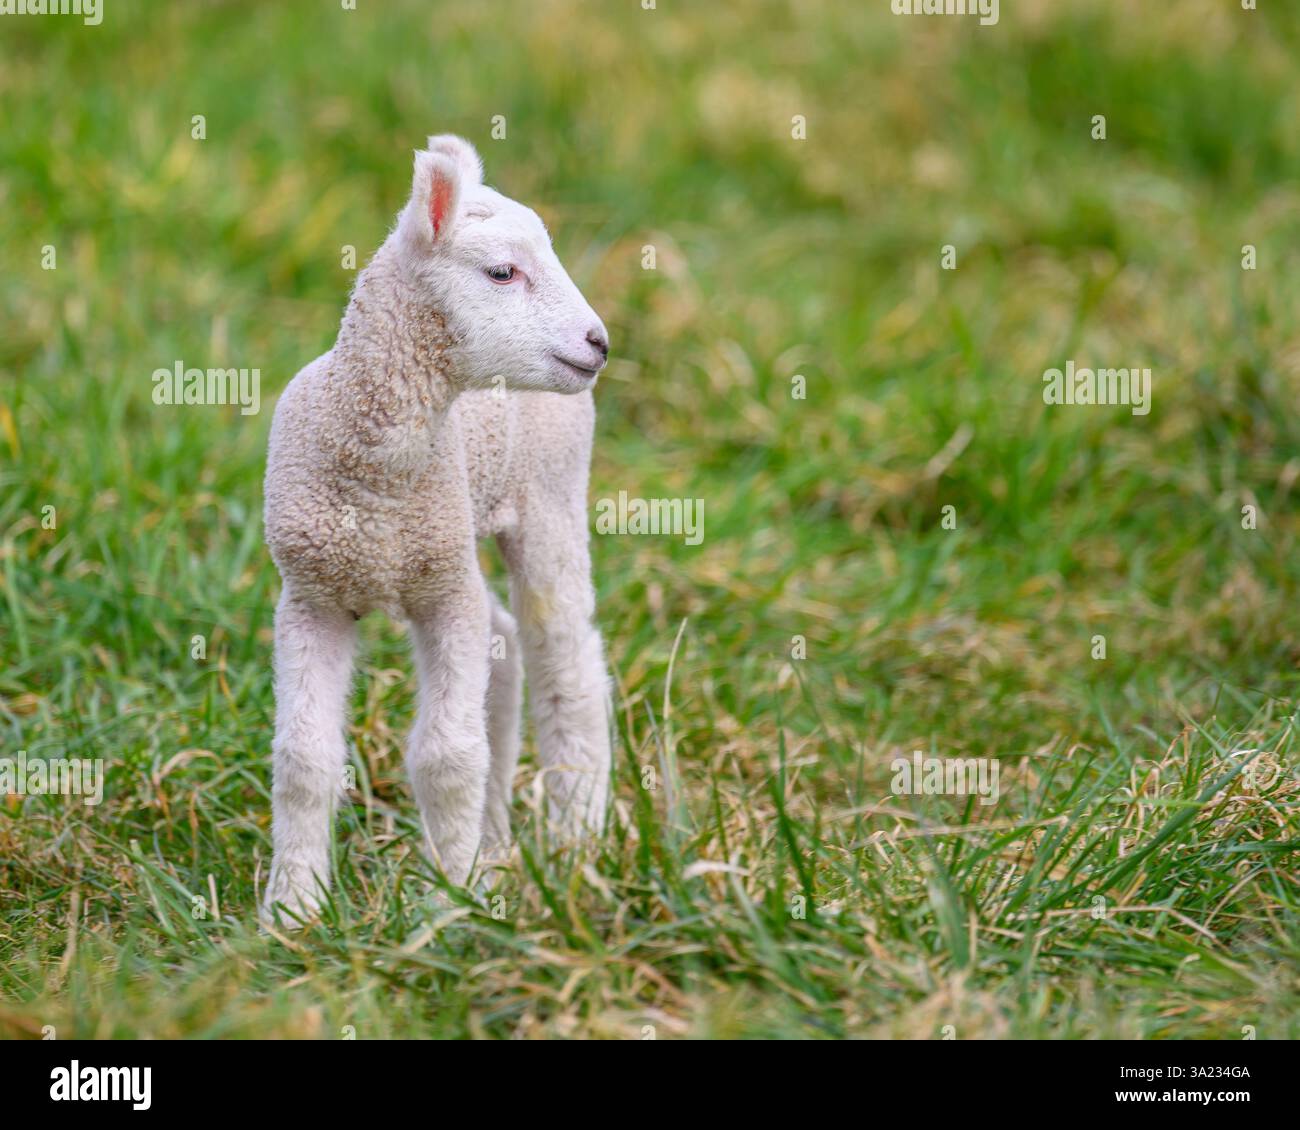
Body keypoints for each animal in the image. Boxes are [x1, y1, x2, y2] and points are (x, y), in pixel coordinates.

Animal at [261, 134, 613, 923]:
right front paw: (293, 911)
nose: (599, 342)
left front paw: (450, 902)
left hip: (547, 496)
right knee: (505, 648)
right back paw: (497, 841)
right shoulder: (312, 595)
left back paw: (575, 848)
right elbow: (304, 759)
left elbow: (447, 756)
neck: (379, 480)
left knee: (567, 664)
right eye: (502, 272)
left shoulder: (441, 594)